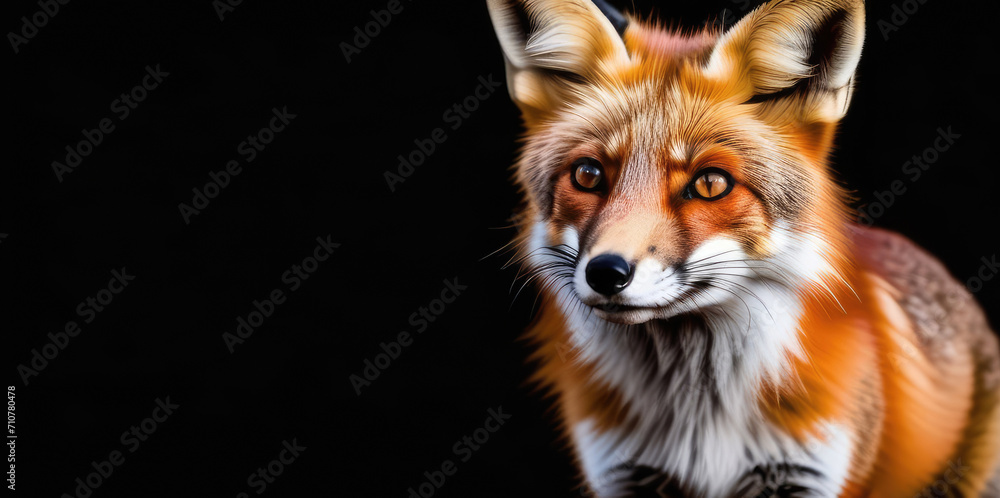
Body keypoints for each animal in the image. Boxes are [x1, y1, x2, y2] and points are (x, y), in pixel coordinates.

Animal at [485, 0, 1000, 496]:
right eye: (588, 175)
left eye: (711, 184)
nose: (606, 273)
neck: (698, 423)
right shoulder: (624, 475)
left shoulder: (807, 474)